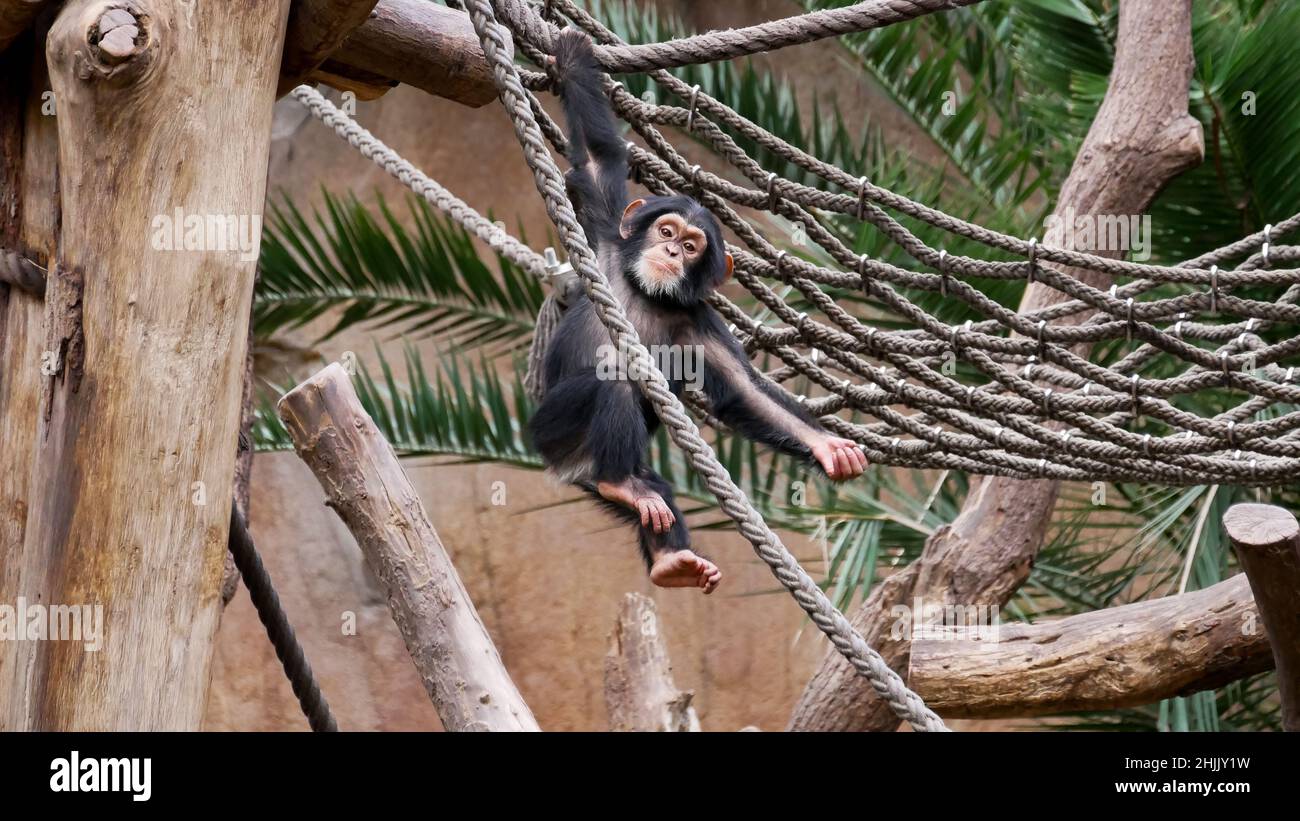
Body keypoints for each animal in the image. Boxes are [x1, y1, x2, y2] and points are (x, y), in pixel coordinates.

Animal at [529, 29, 867, 594]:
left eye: (691, 246)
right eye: (666, 231)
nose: (670, 251)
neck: (647, 293)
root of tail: (567, 471)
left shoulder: (704, 327)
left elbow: (744, 391)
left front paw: (824, 446)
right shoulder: (605, 239)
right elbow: (597, 159)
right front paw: (574, 56)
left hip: (590, 472)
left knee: (653, 490)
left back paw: (669, 554)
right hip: (551, 431)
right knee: (615, 377)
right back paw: (625, 485)